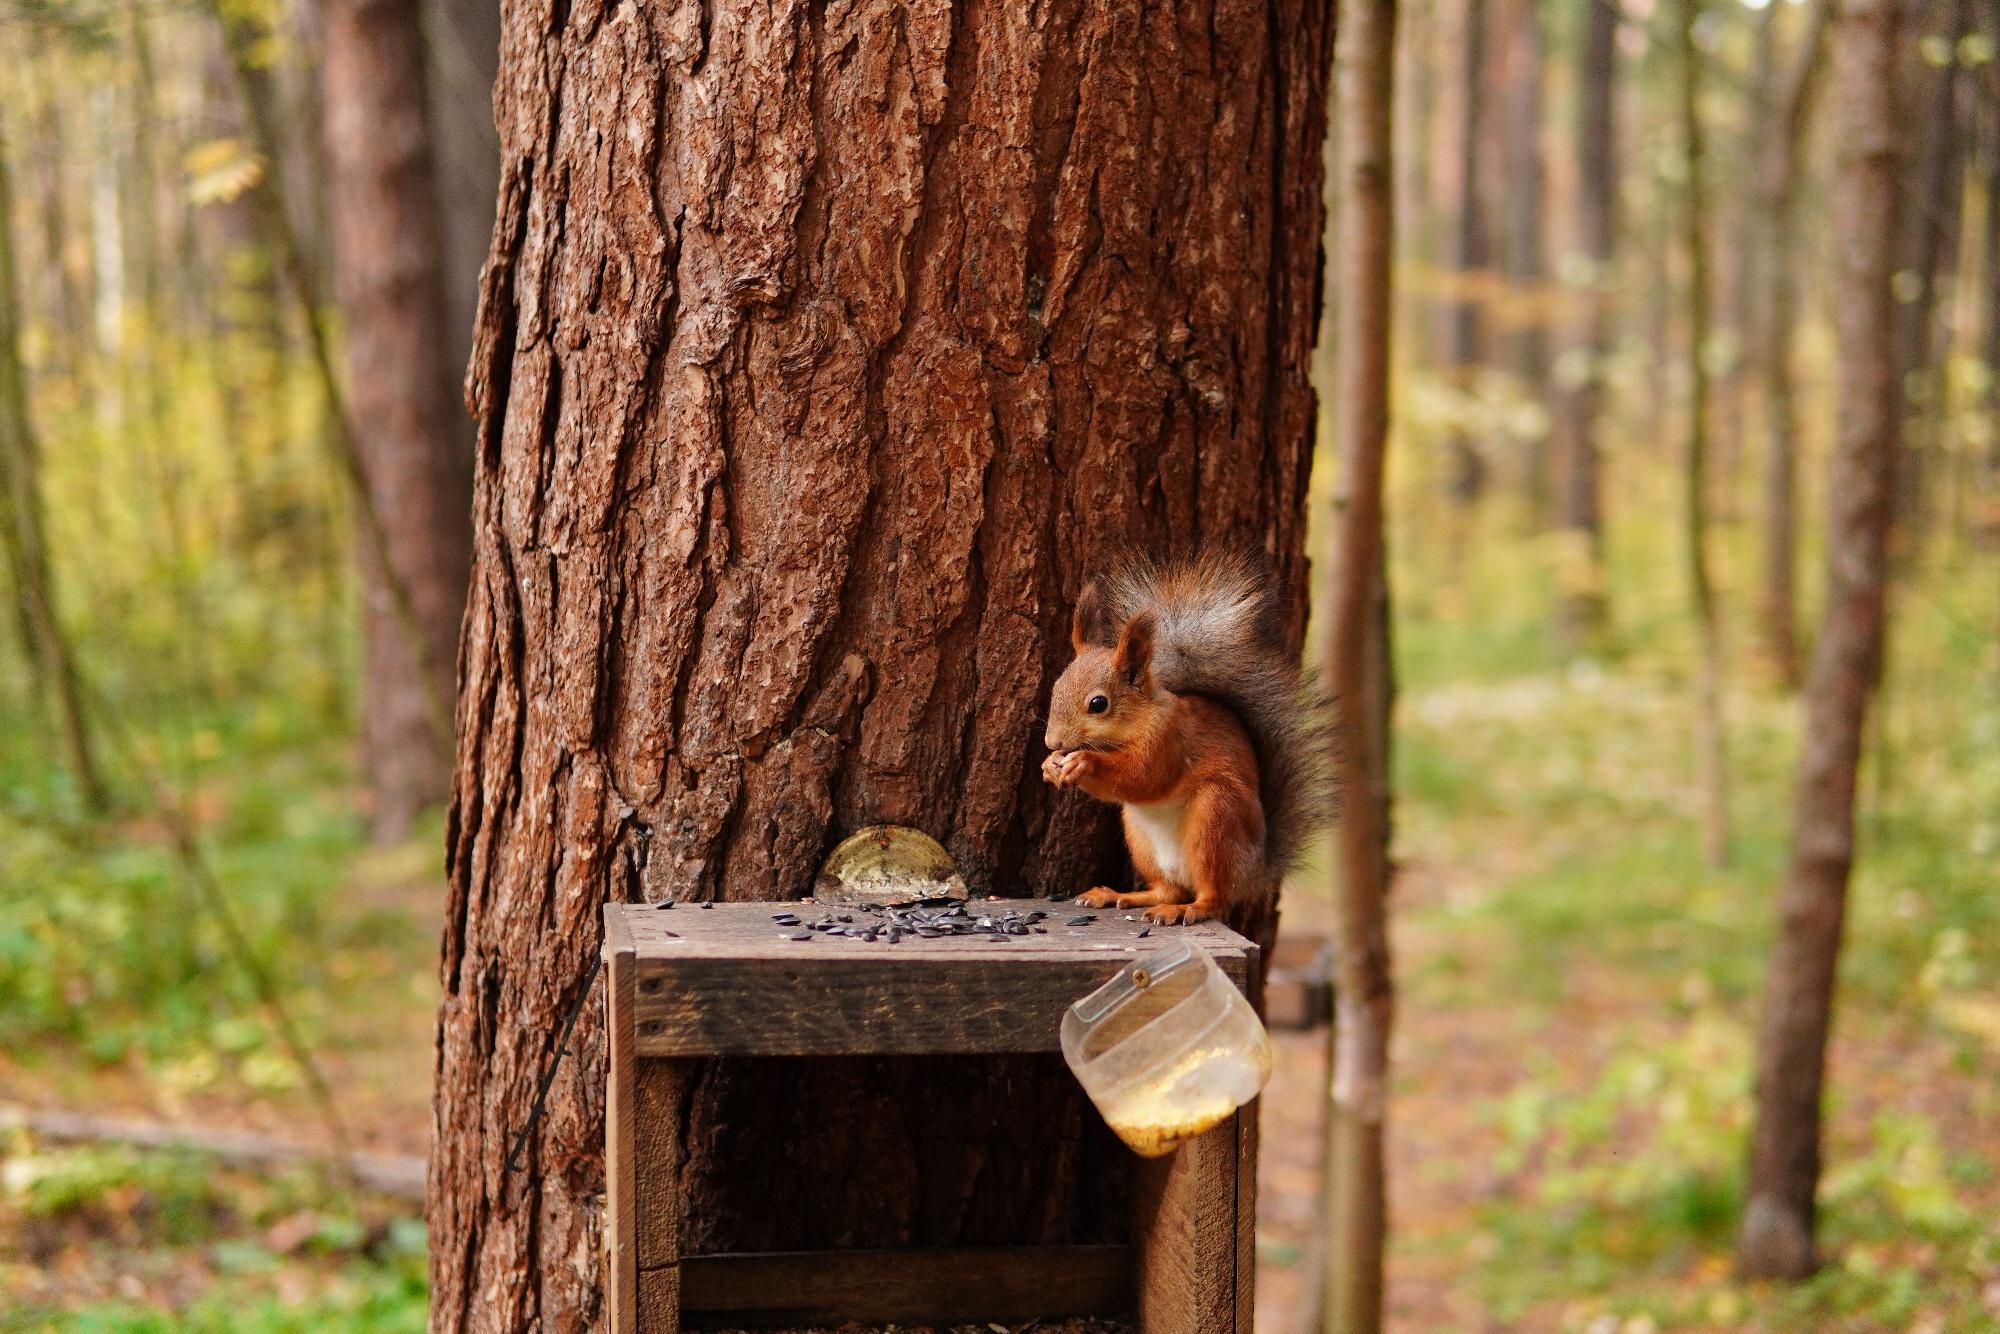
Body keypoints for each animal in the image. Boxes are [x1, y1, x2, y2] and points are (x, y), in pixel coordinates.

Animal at [1040, 560, 1336, 924]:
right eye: (1056, 688)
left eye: (1098, 704)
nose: (1052, 743)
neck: (1133, 724)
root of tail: (1255, 874)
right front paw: (1049, 767)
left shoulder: (1169, 739)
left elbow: (1142, 778)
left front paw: (1083, 761)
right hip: (1140, 838)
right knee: (1166, 889)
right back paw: (1118, 895)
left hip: (1215, 817)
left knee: (1214, 898)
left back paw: (1186, 909)